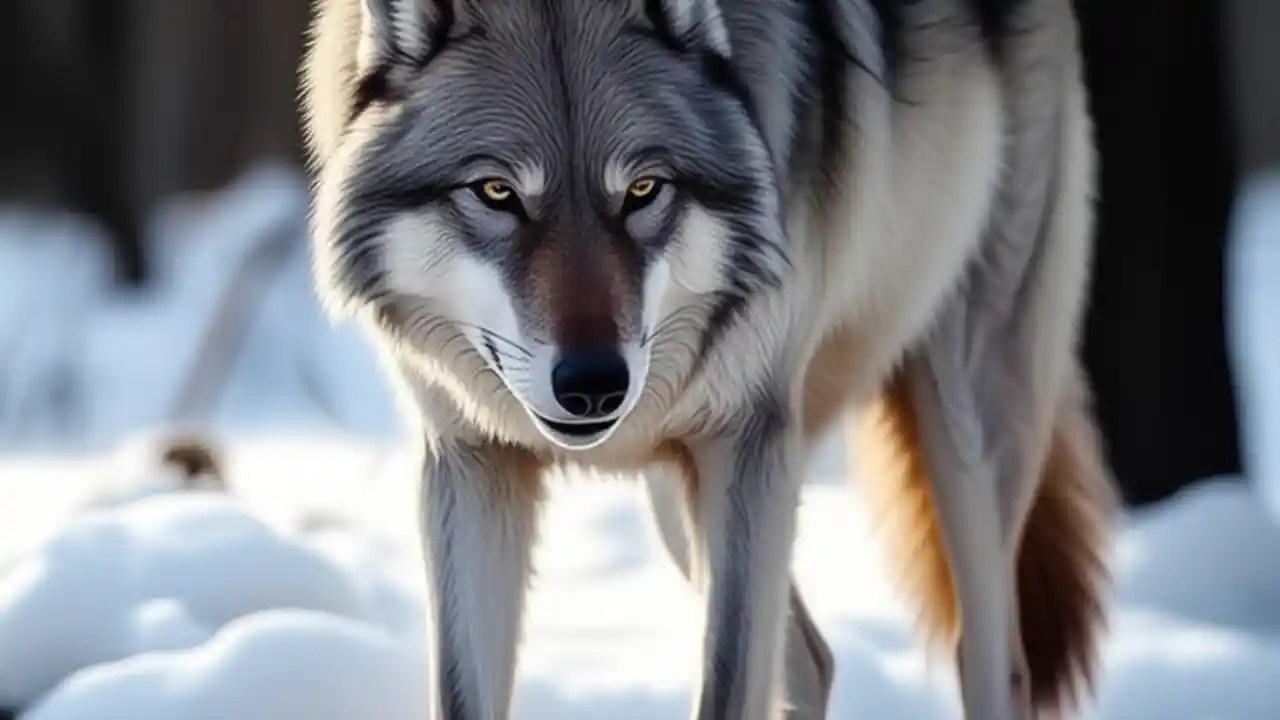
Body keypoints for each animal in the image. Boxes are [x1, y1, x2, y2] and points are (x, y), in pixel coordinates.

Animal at [301, 0, 1116, 717]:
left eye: (642, 190)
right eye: (498, 192)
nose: (595, 386)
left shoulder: (747, 438)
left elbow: (727, 690)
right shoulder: (472, 460)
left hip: (964, 425)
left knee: (993, 662)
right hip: (677, 491)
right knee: (813, 659)